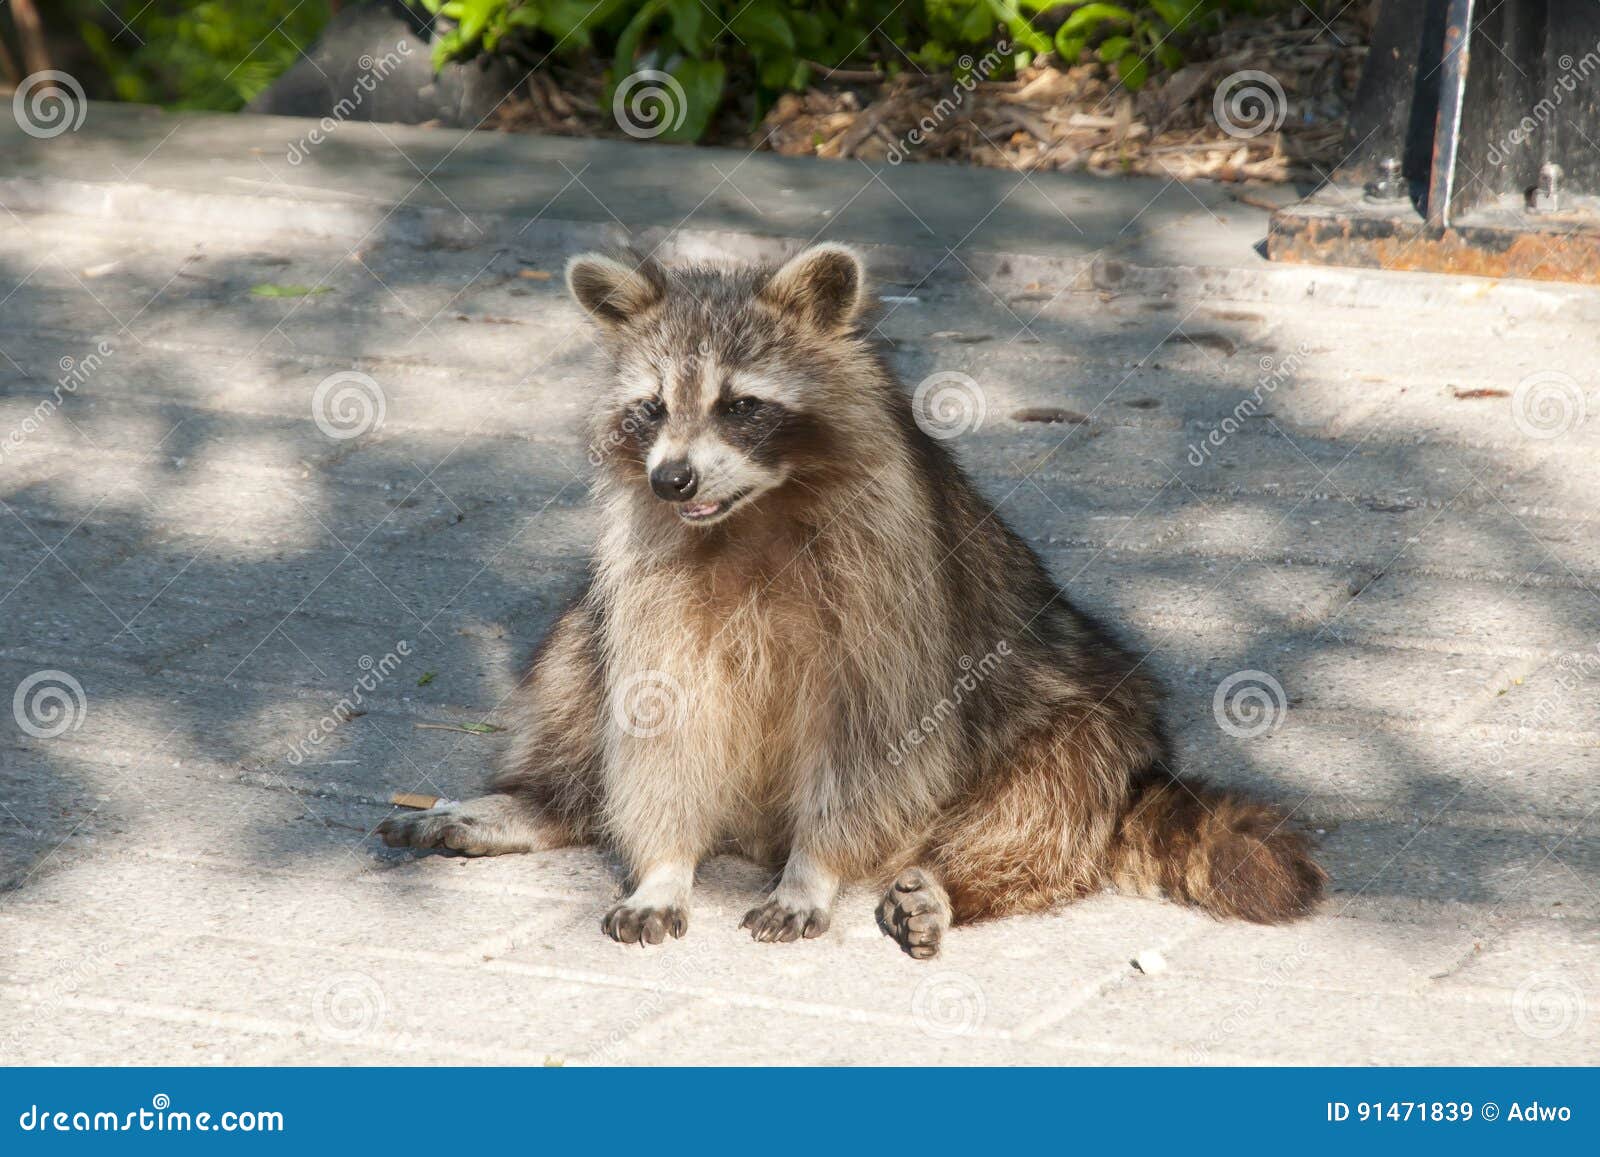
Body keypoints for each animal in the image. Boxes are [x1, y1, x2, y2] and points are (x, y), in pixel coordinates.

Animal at [378, 243, 1325, 958]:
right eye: (649, 409)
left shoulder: (890, 590)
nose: (670, 477)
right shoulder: (655, 570)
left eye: (741, 405)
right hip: (608, 610)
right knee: (582, 650)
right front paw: (662, 863)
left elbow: (875, 736)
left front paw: (814, 870)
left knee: (1047, 801)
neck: (751, 509)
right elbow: (659, 713)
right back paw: (540, 801)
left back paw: (953, 880)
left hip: (1087, 713)